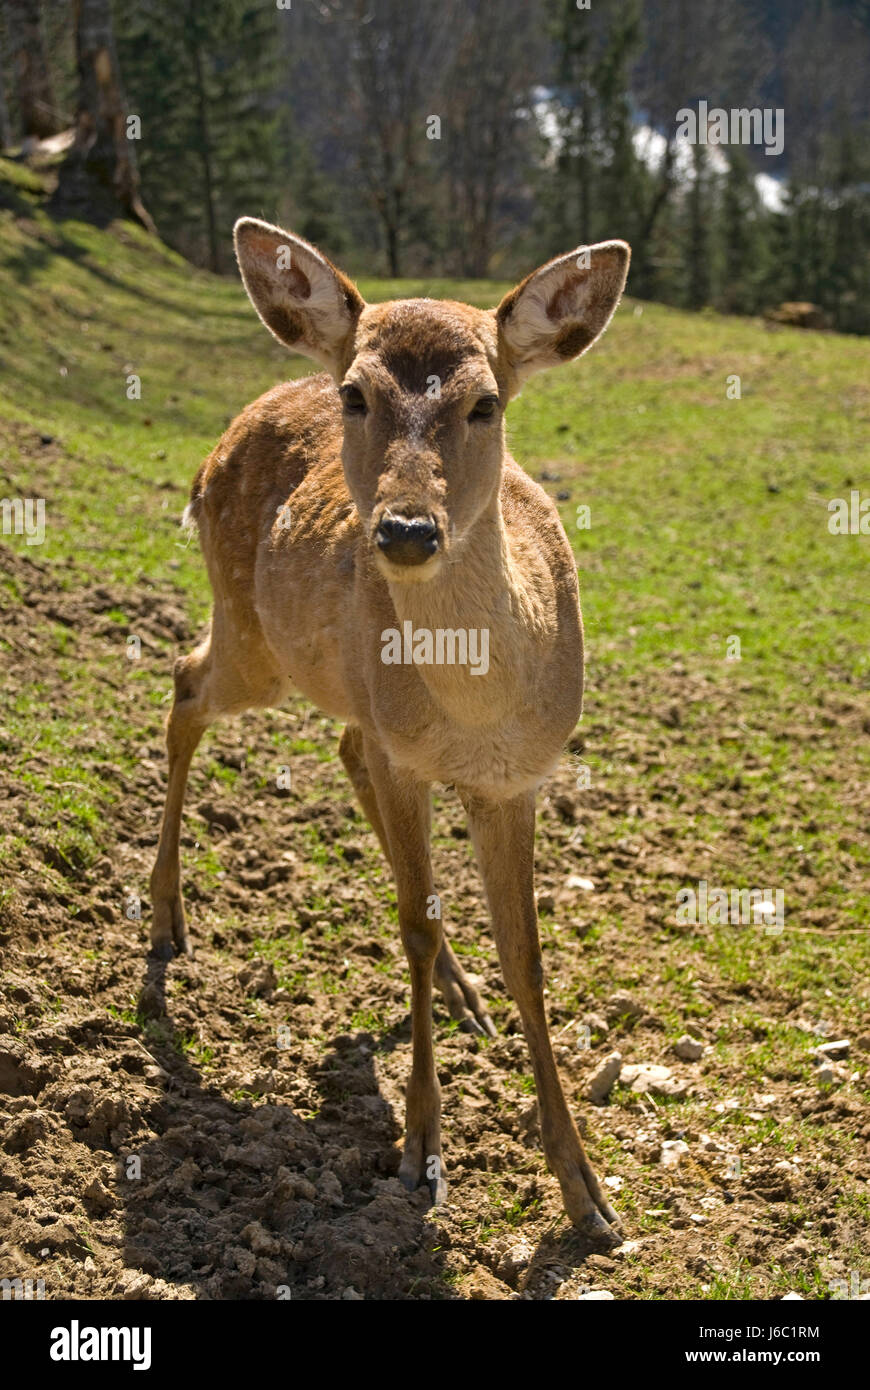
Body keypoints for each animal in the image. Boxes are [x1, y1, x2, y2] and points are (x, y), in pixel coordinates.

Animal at [149, 218, 631, 1247]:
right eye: (357, 395)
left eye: (488, 402)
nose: (407, 532)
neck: (476, 714)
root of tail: (216, 447)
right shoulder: (411, 761)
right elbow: (410, 924)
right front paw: (420, 1151)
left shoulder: (520, 778)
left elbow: (529, 957)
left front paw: (588, 1194)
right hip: (253, 639)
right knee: (185, 683)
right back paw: (166, 917)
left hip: (322, 678)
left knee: (333, 743)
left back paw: (462, 988)